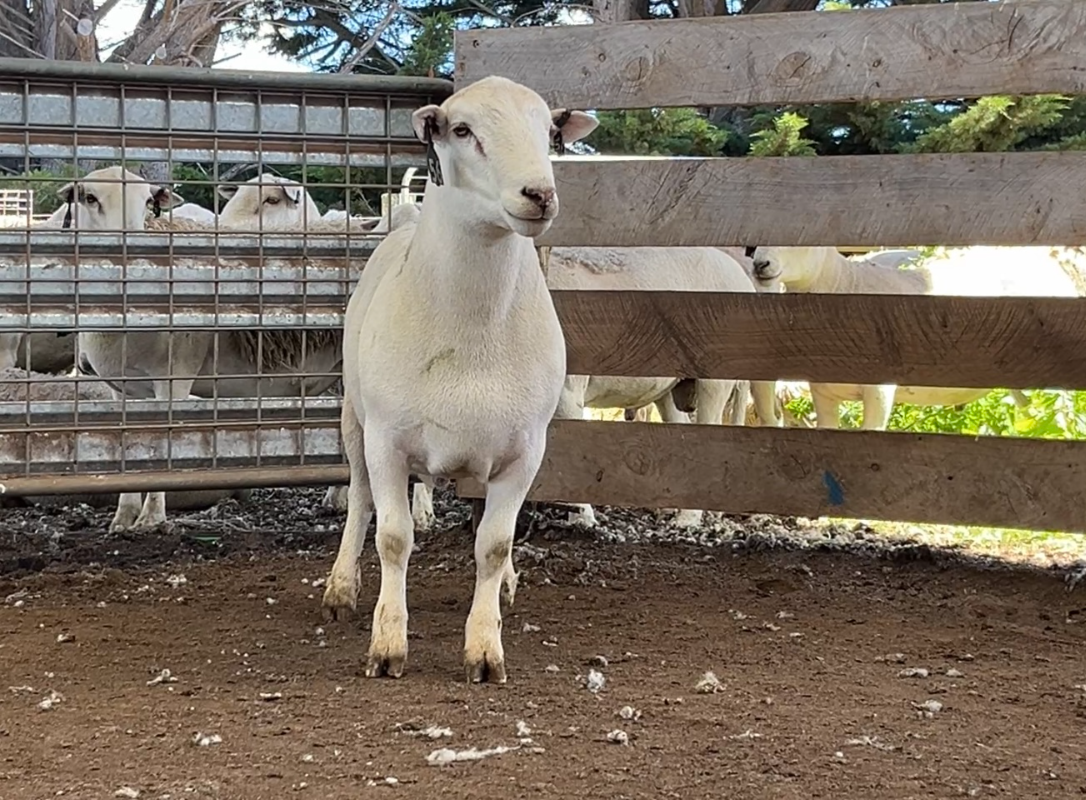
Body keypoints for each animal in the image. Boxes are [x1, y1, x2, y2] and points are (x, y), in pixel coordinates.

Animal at [320, 75, 598, 683]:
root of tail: (403, 221)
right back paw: (341, 588)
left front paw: (486, 650)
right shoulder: (387, 439)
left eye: (549, 132)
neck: (471, 333)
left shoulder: (526, 452)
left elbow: (492, 544)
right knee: (358, 500)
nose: (540, 194)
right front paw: (388, 646)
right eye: (463, 129)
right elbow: (392, 537)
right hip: (355, 418)